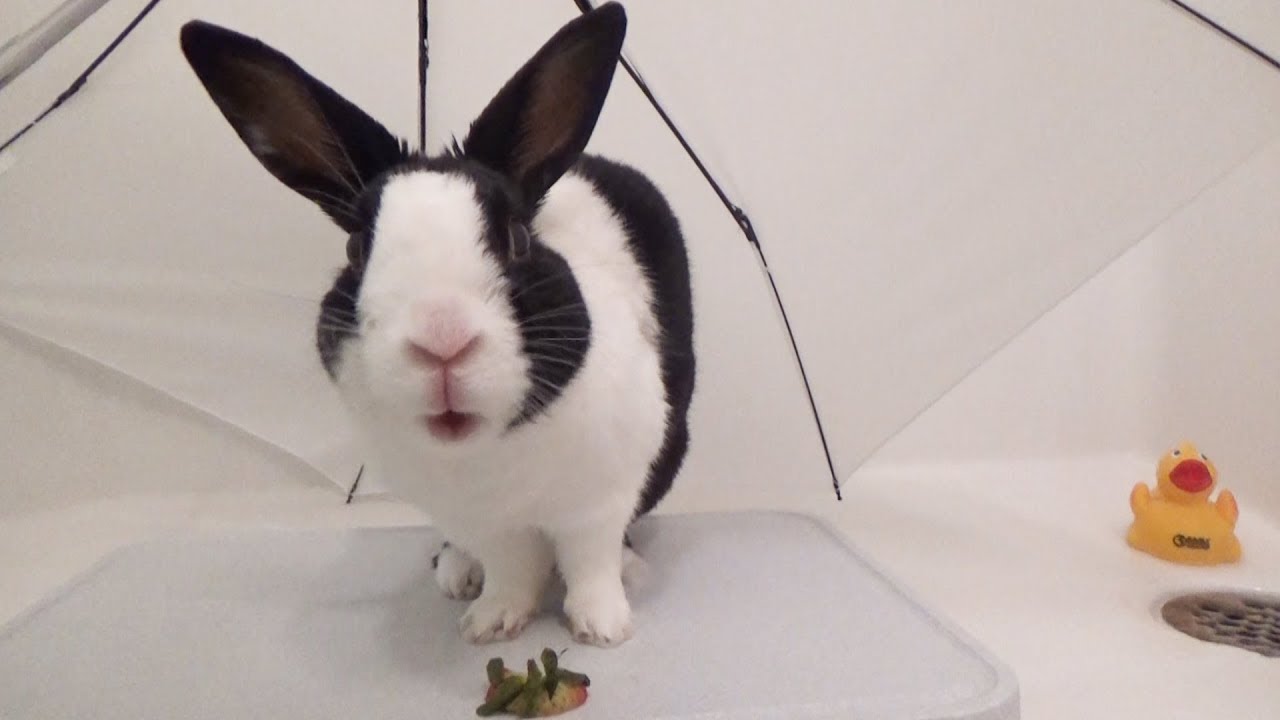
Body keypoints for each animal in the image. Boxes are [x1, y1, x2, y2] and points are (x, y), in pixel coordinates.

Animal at [180, 2, 694, 648]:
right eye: (355, 249)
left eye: (517, 240)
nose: (441, 340)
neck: (487, 456)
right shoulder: (488, 525)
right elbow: (511, 569)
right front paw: (492, 623)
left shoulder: (600, 498)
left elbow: (590, 560)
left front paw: (602, 628)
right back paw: (456, 573)